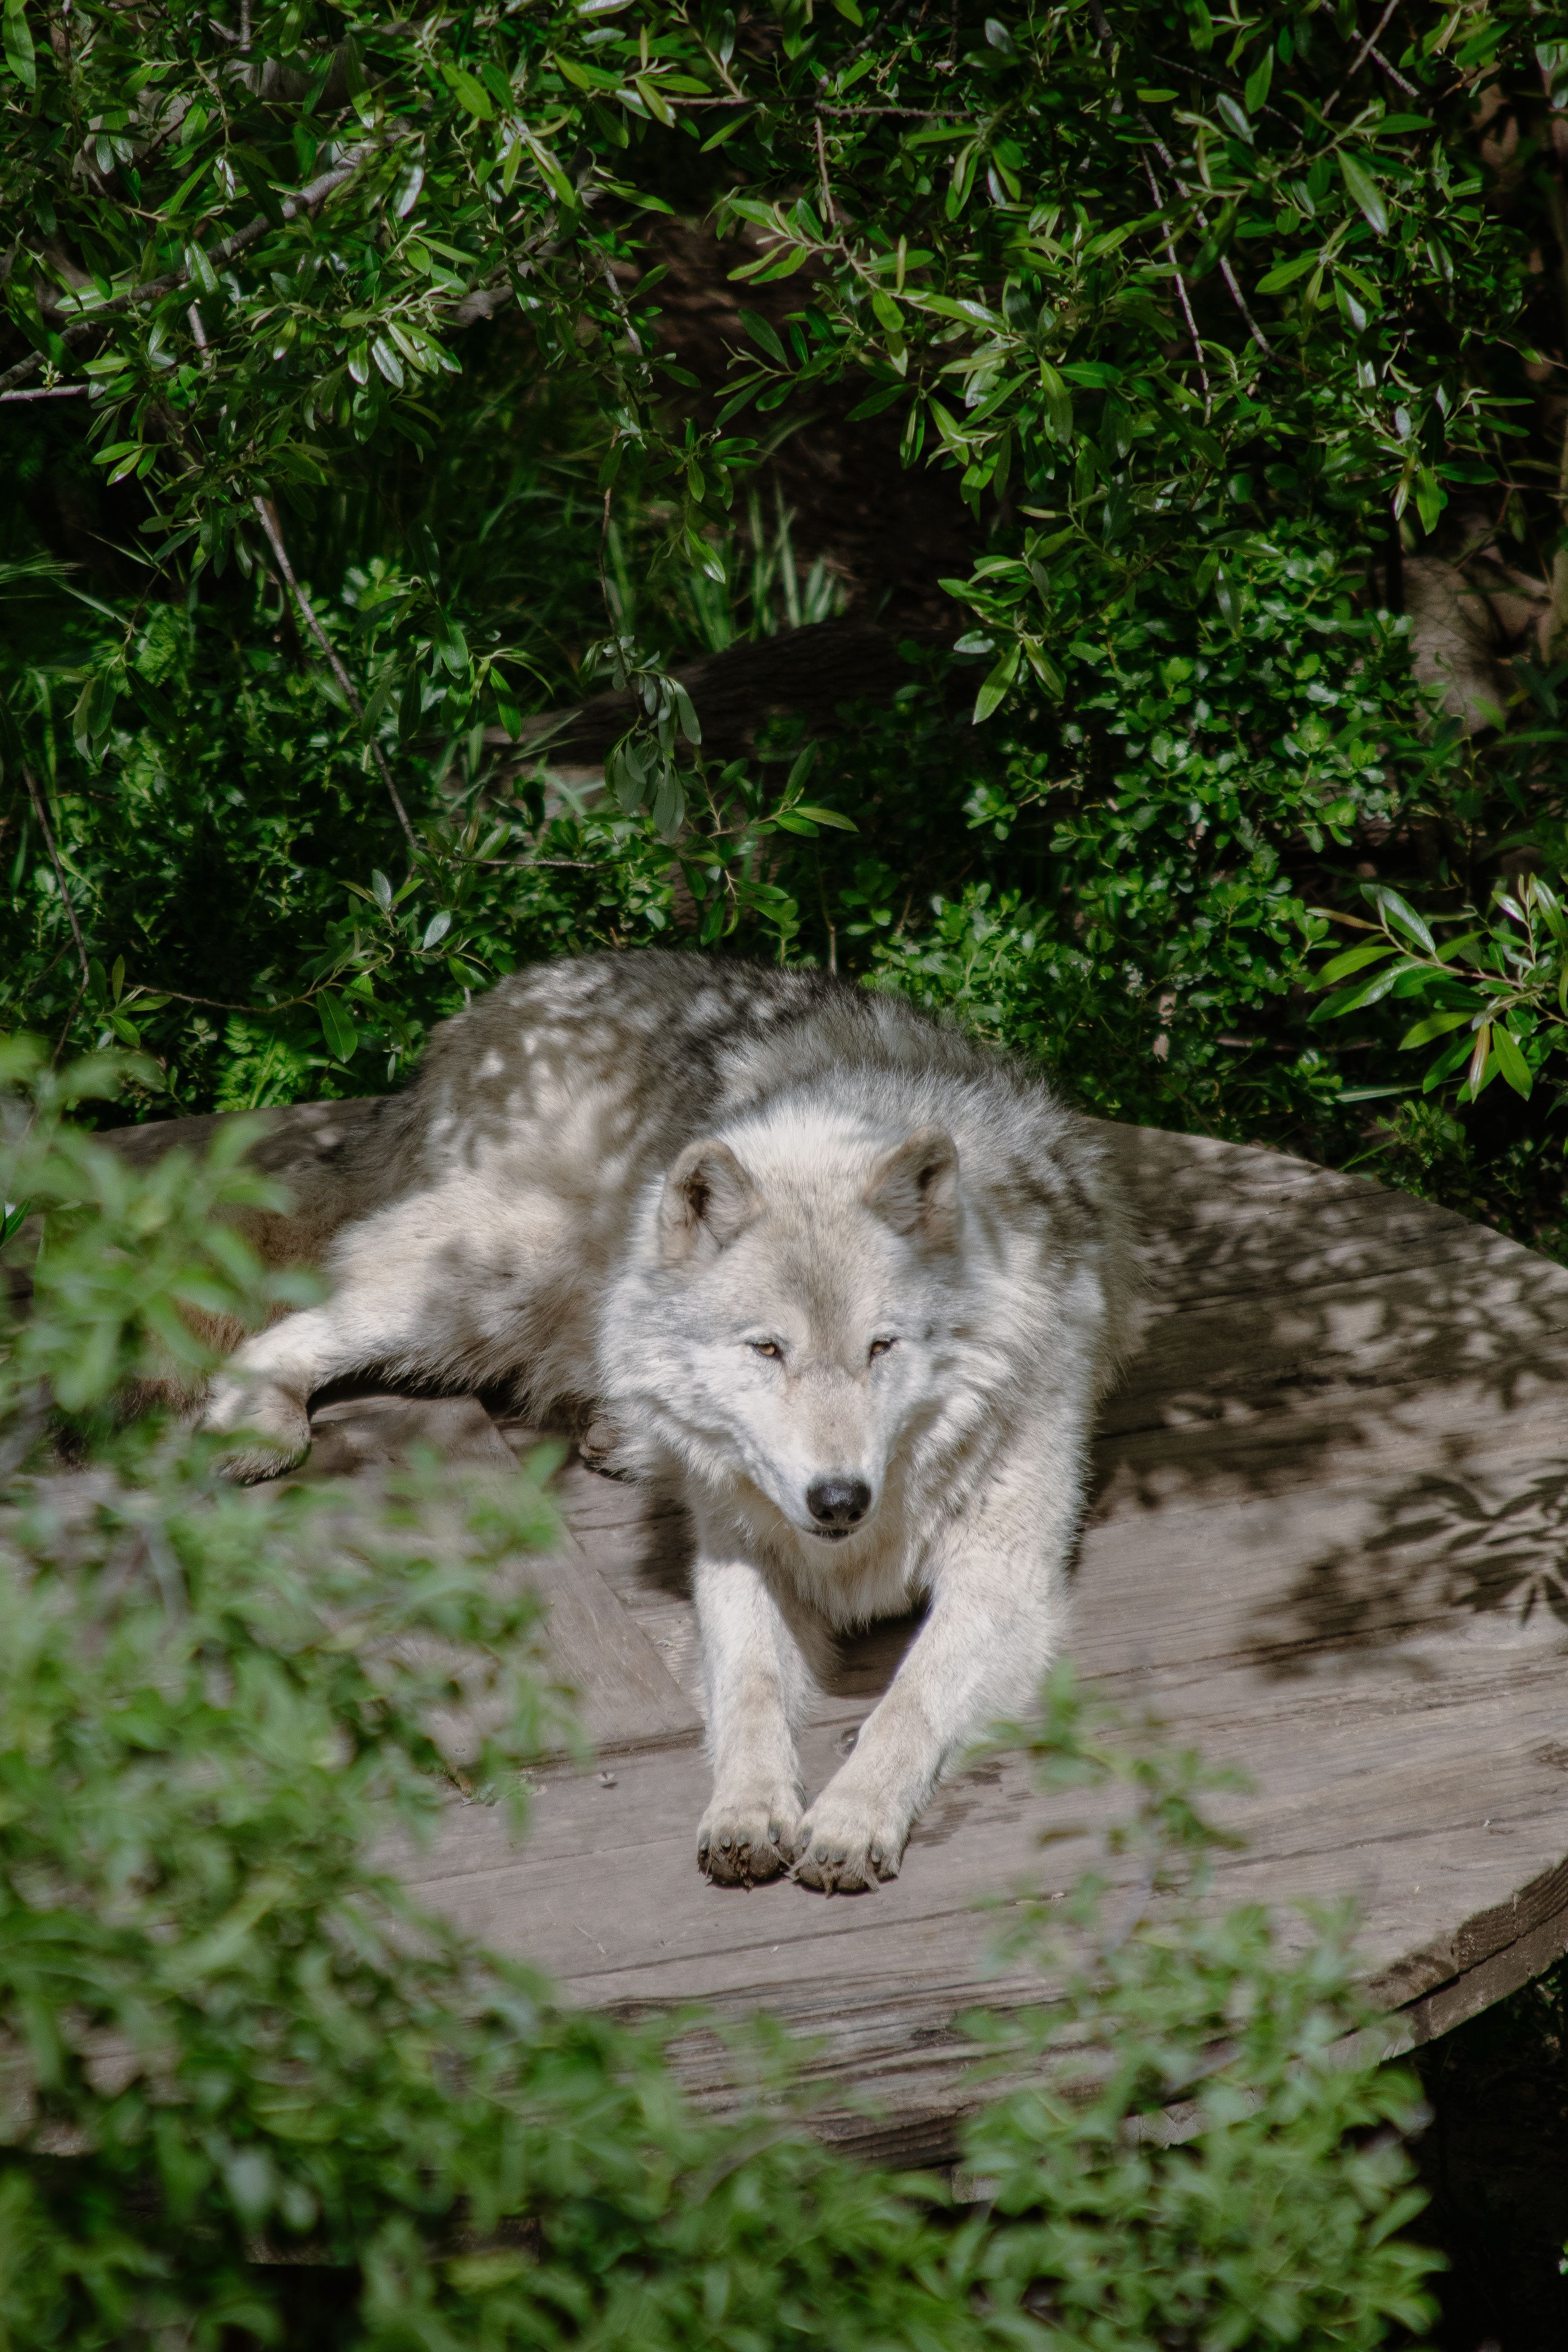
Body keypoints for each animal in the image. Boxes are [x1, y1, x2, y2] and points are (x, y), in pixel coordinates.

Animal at [203, 951, 1132, 1893]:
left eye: (881, 1347)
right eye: (767, 1350)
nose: (839, 1500)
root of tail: (489, 1006)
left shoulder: (999, 1579)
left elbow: (906, 1703)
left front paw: (848, 1817)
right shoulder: (741, 1557)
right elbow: (752, 1687)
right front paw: (748, 1807)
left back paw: (618, 1438)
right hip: (496, 1277)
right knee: (288, 1326)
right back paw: (259, 1424)